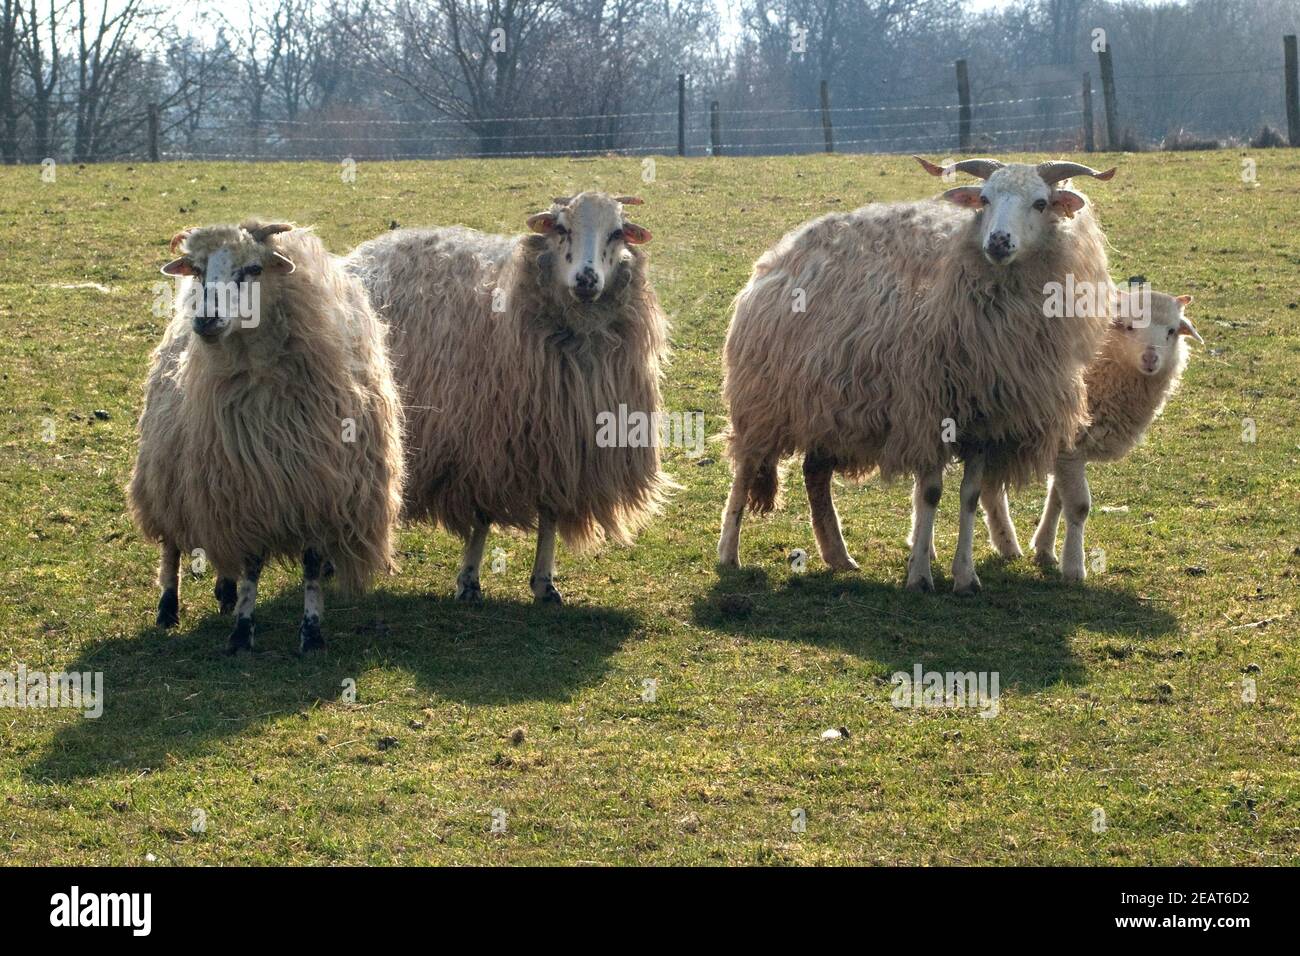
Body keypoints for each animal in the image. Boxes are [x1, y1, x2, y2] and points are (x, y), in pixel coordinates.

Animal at [127, 220, 404, 654]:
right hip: (167, 475)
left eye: (254, 269)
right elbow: (253, 563)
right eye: (198, 270)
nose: (205, 321)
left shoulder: (317, 491)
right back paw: (168, 607)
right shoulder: (251, 488)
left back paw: (223, 589)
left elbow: (311, 564)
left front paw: (311, 632)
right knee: (171, 545)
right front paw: (242, 631)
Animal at [346, 192, 670, 604]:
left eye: (616, 232)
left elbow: (550, 513)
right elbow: (482, 516)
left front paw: (544, 582)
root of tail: (359, 256)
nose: (586, 279)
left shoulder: (561, 448)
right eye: (561, 228)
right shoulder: (485, 444)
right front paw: (468, 579)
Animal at [718, 157, 1117, 594]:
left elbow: (970, 496)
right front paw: (920, 576)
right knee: (745, 471)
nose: (997, 242)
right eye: (984, 199)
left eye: (1041, 203)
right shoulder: (926, 409)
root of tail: (780, 253)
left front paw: (965, 577)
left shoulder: (983, 424)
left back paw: (838, 556)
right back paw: (729, 553)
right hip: (763, 397)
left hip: (826, 402)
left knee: (815, 475)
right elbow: (930, 493)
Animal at [978, 283, 1201, 581]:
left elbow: (1057, 500)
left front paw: (1045, 549)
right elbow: (1079, 506)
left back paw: (1006, 544)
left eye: (1172, 331)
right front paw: (1074, 567)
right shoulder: (1069, 445)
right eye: (1128, 326)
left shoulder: (1067, 450)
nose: (1151, 358)